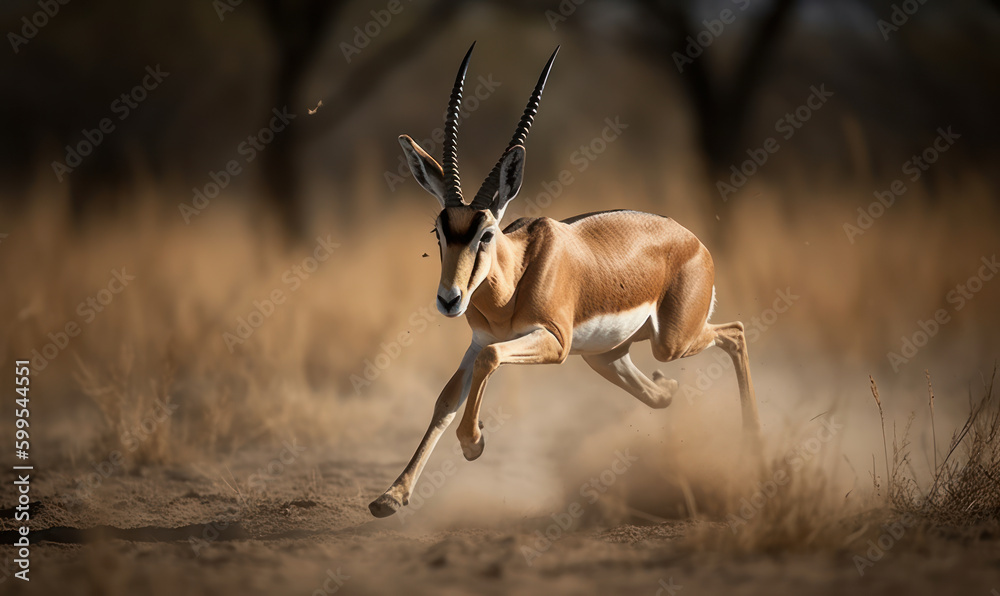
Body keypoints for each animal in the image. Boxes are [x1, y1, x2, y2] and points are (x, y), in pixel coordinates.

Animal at [369, 43, 761, 518]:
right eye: (439, 232)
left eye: (486, 234)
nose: (450, 299)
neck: (514, 281)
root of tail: (694, 240)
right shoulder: (480, 341)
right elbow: (445, 399)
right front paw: (390, 497)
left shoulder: (553, 343)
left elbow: (491, 361)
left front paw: (474, 444)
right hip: (606, 356)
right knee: (659, 391)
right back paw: (674, 395)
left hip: (672, 342)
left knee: (735, 332)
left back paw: (755, 450)